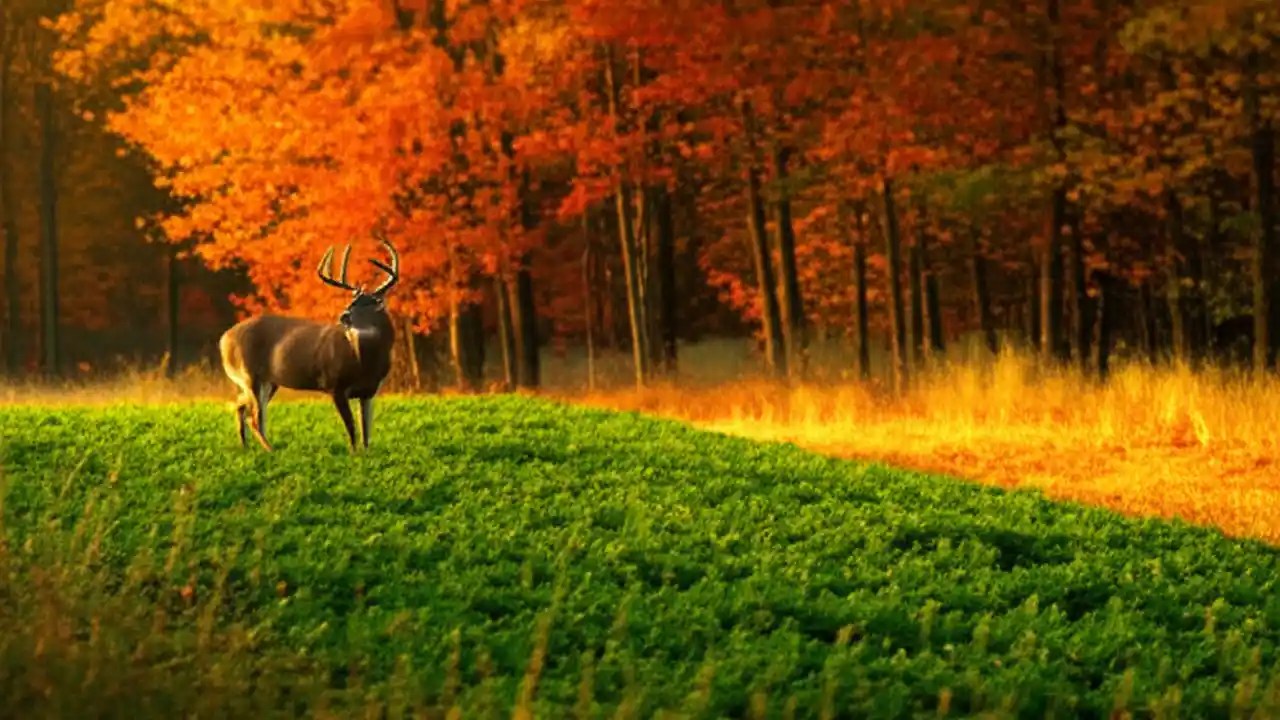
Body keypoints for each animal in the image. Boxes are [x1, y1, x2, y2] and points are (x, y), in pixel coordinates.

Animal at [217, 238, 400, 453]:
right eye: (351, 303)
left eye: (368, 303)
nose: (343, 316)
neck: (364, 362)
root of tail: (224, 339)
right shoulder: (335, 385)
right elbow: (352, 428)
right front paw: (354, 454)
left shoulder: (370, 391)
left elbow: (366, 432)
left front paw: (367, 454)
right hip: (250, 375)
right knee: (254, 417)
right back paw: (271, 450)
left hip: (268, 381)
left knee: (241, 408)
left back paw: (246, 446)